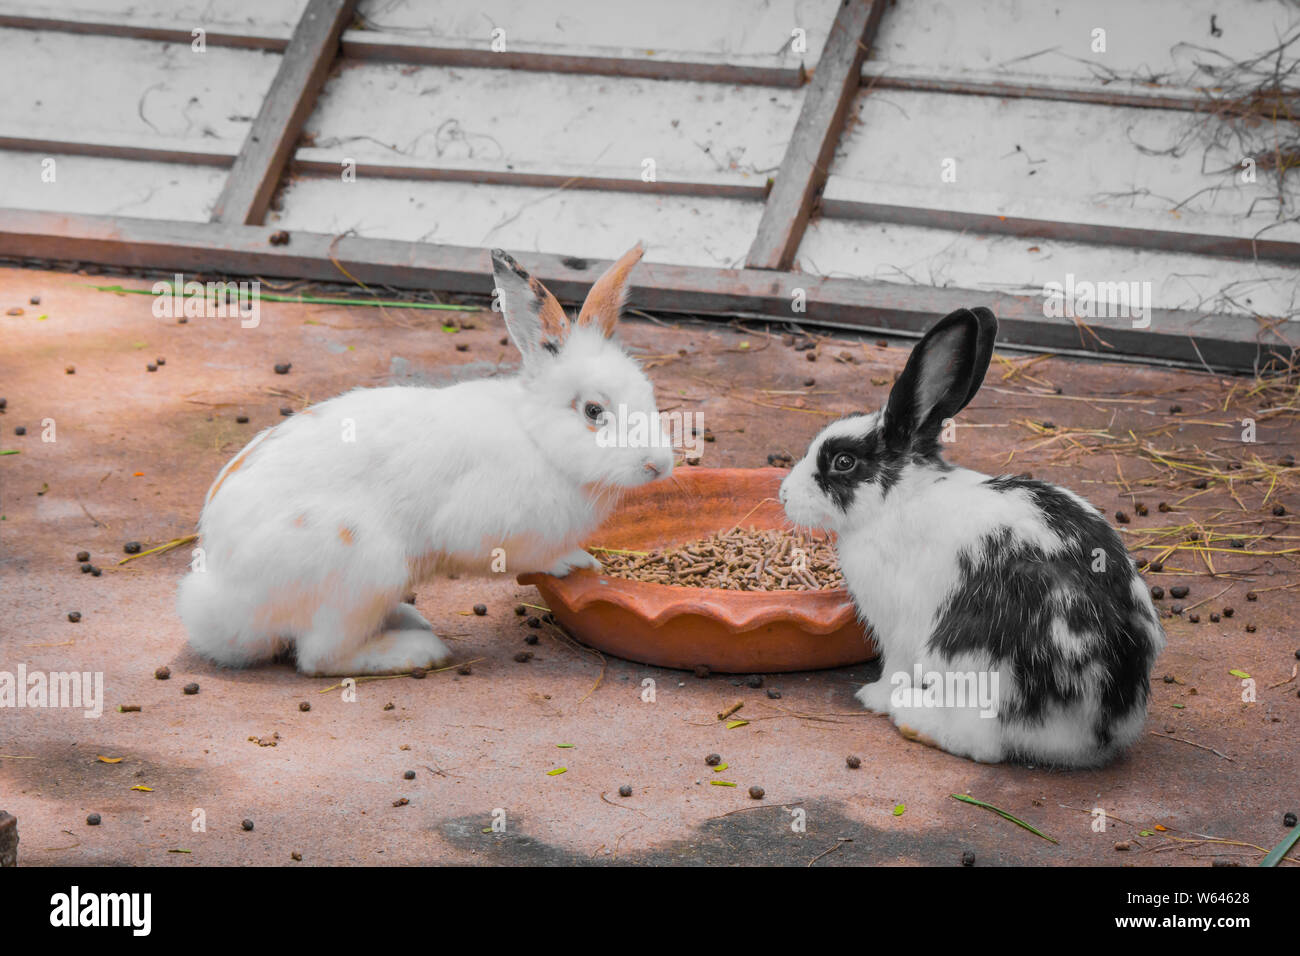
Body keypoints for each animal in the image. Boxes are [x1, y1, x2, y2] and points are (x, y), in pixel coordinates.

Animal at [177, 244, 674, 677]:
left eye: (647, 393)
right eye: (593, 411)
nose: (659, 465)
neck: (537, 439)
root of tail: (224, 604)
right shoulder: (492, 530)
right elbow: (535, 555)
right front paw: (576, 563)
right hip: (363, 569)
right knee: (320, 657)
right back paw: (418, 650)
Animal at [779, 307, 1165, 767]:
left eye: (842, 461)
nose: (784, 494)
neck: (898, 498)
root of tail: (1099, 727)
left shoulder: (899, 628)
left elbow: (895, 668)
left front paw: (873, 695)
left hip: (971, 657)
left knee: (982, 741)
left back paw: (911, 715)